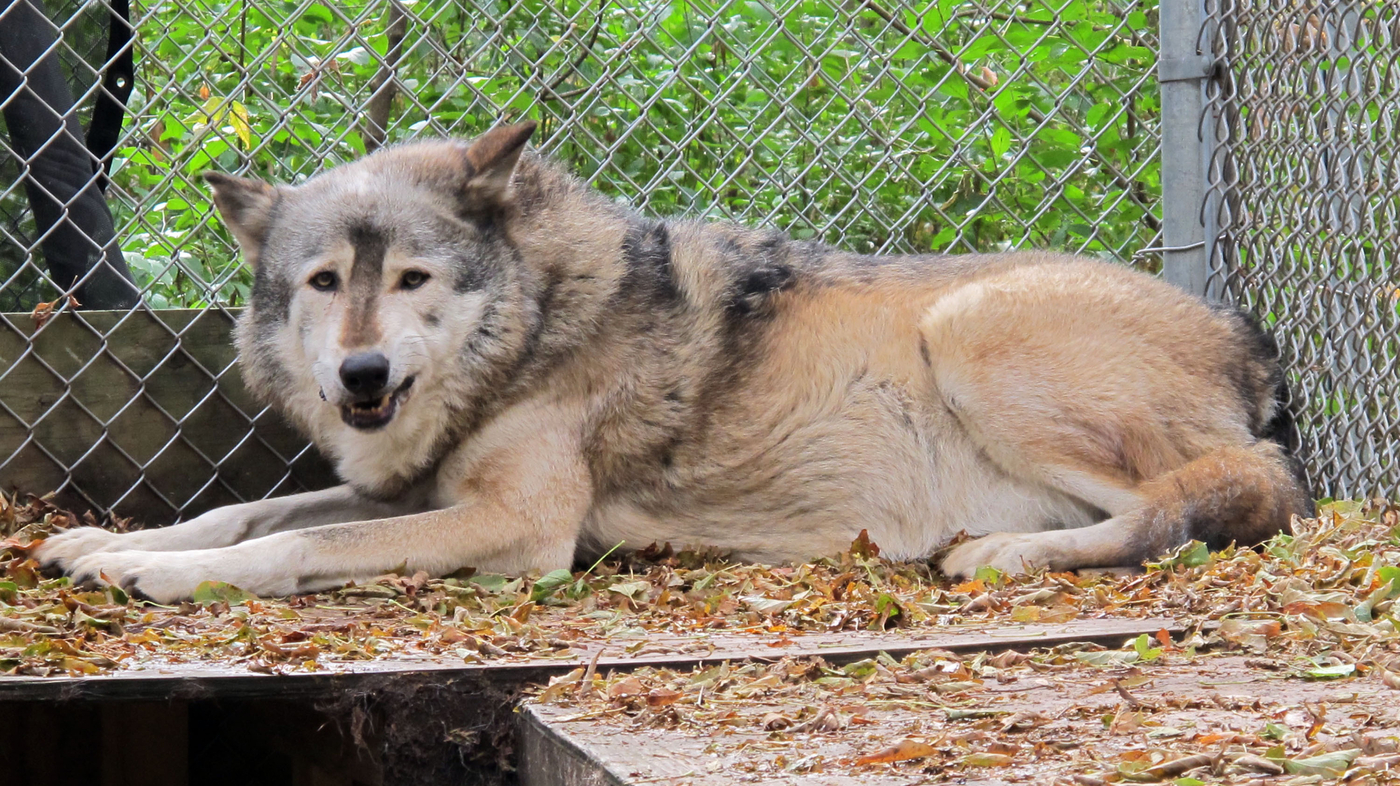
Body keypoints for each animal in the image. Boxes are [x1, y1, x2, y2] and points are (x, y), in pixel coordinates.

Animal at [35, 121, 1311, 603]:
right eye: (321, 284)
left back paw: (1002, 552)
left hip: (971, 328)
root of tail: (1245, 336)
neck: (533, 328)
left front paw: (155, 577)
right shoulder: (416, 490)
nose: (358, 378)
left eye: (410, 281)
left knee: (1224, 494)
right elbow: (243, 512)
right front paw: (105, 546)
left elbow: (298, 541)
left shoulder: (518, 530)